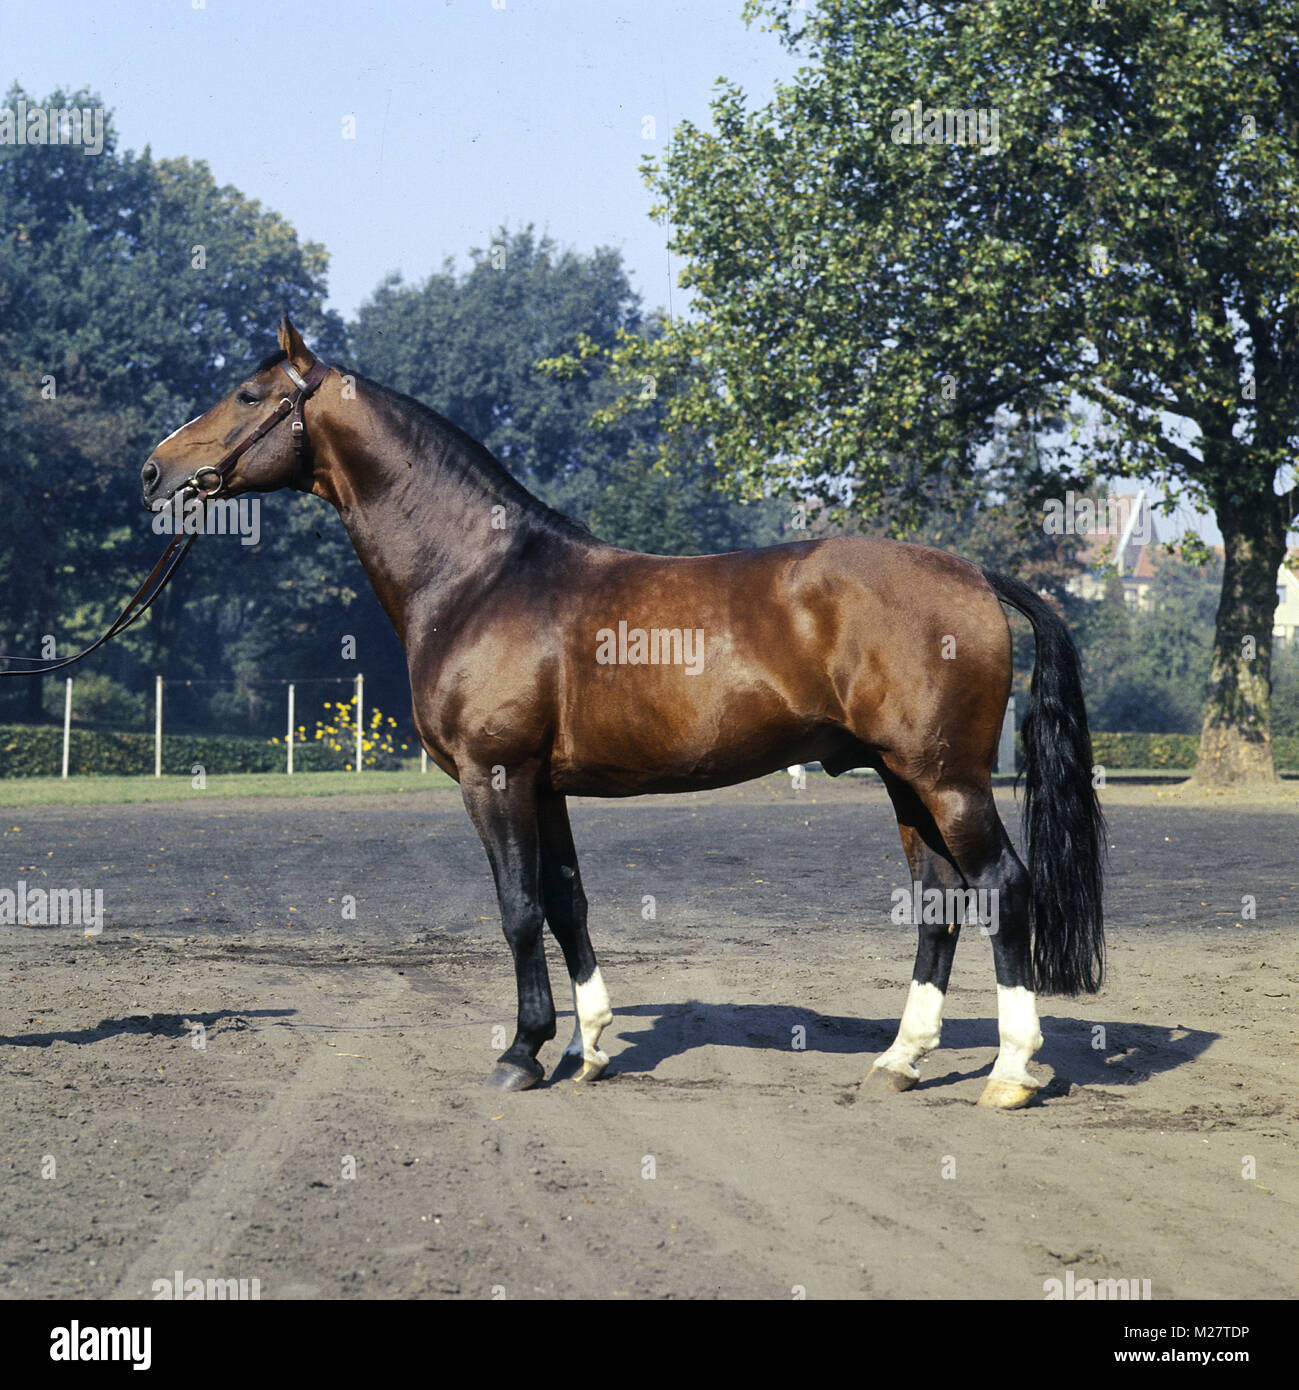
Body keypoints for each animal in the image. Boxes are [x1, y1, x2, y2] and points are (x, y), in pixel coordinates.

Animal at [140, 316, 1105, 1110]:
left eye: (249, 395)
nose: (156, 471)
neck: (482, 576)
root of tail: (973, 572)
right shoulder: (543, 786)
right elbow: (568, 902)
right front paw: (589, 1046)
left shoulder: (495, 779)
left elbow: (518, 908)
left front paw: (523, 1053)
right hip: (908, 783)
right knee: (939, 900)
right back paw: (900, 1059)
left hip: (948, 781)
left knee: (1002, 888)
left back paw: (1011, 1071)